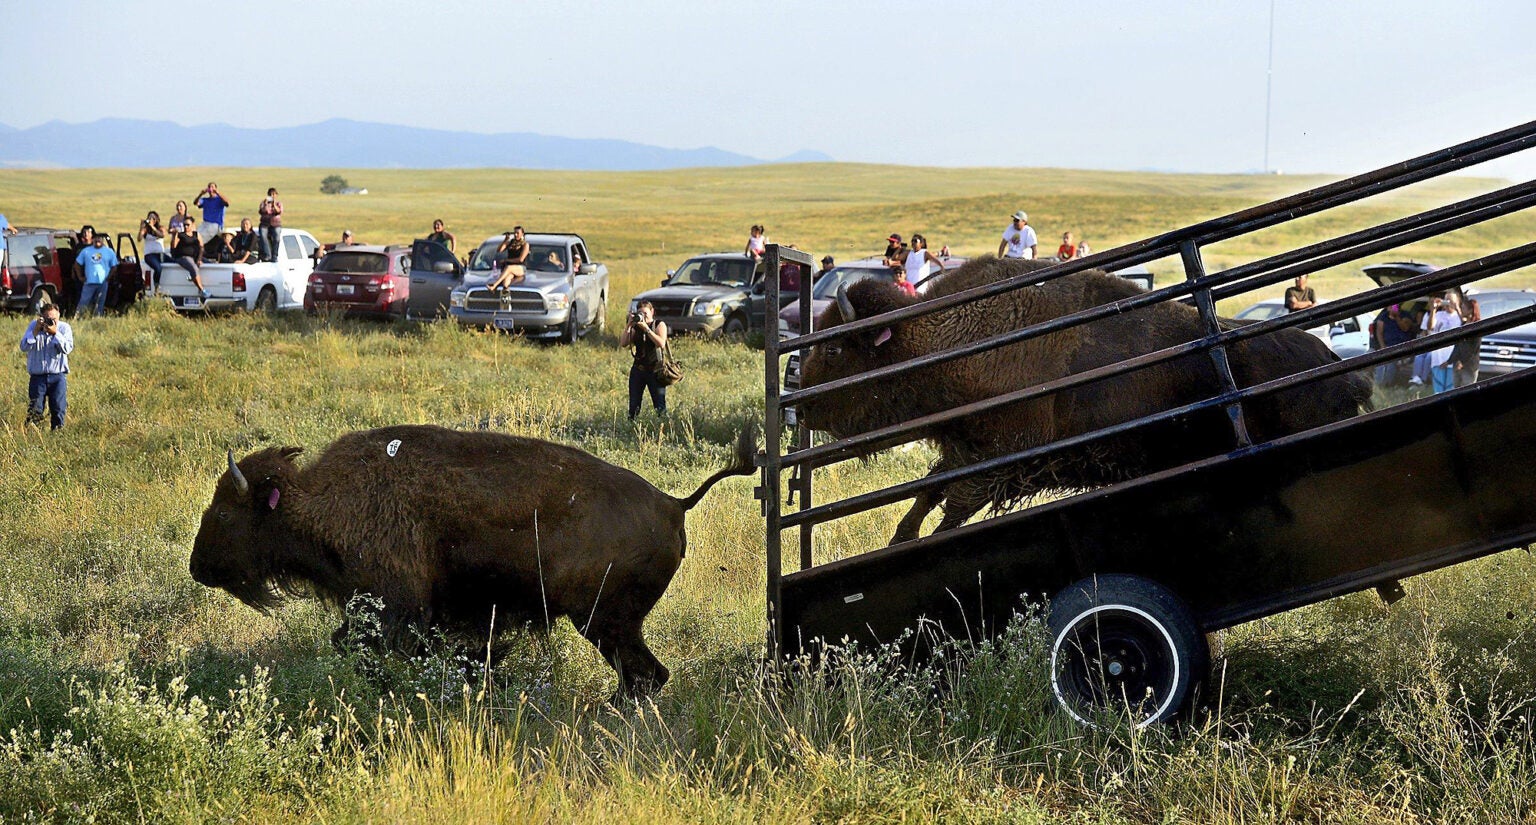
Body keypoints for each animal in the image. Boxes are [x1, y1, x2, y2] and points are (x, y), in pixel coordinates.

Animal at [190, 424, 757, 696]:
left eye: (224, 511)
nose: (197, 567)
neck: (327, 501)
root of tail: (674, 502)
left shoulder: (397, 610)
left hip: (604, 622)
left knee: (645, 675)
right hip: (609, 625)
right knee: (647, 675)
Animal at [799, 257, 1371, 543]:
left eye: (833, 346)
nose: (801, 405)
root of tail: (1336, 364)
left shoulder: (999, 459)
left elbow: (951, 508)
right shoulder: (966, 451)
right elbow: (926, 495)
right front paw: (901, 537)